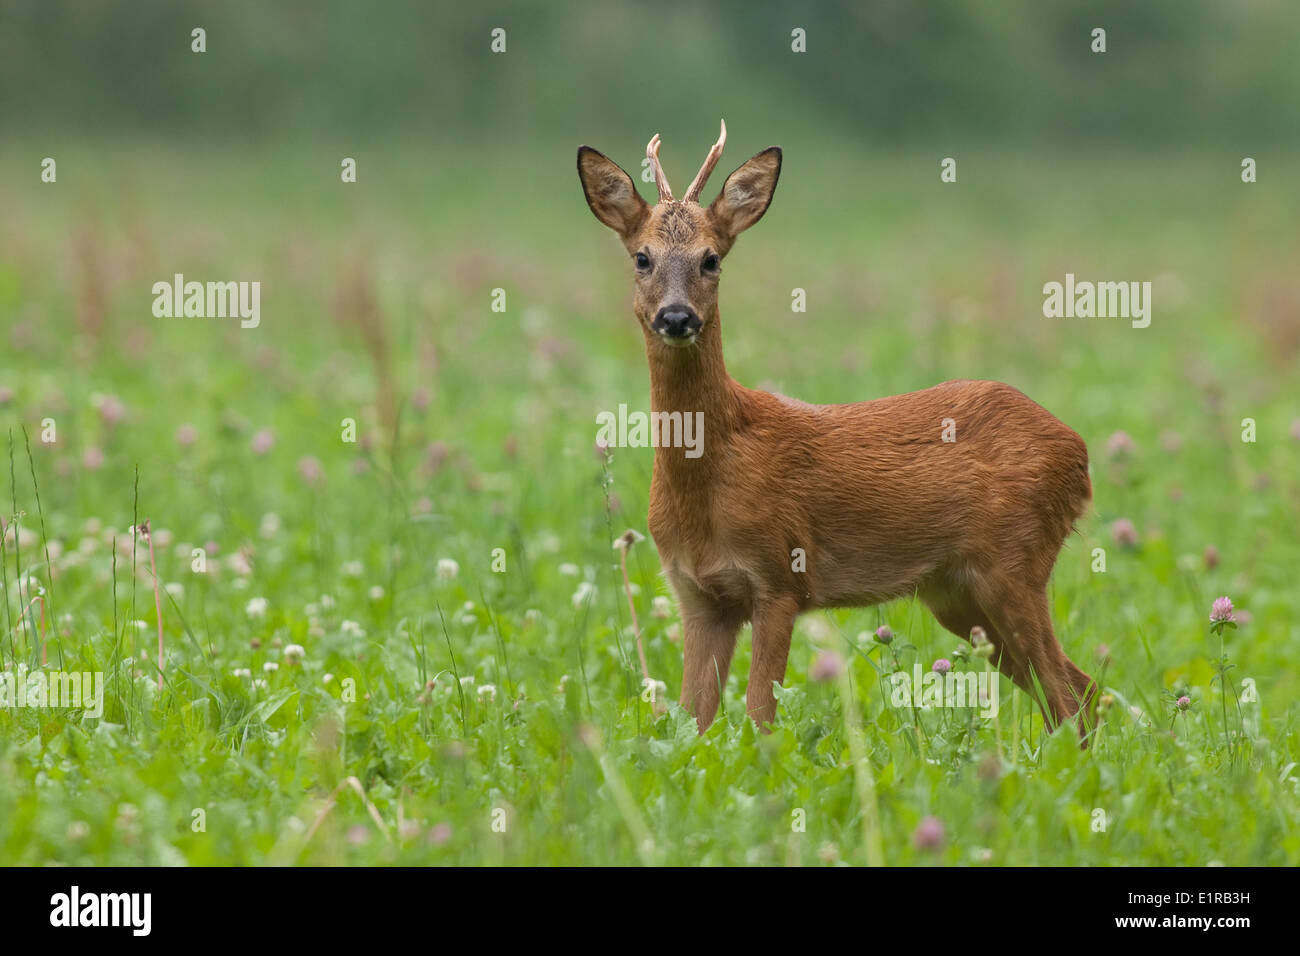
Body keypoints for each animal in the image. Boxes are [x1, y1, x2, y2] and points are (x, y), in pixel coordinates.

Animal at [577, 121, 1098, 742]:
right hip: (956, 593)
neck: (710, 482)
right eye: (641, 257)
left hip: (1015, 562)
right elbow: (693, 725)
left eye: (711, 259)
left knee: (1069, 696)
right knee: (1081, 689)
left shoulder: (781, 576)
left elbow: (760, 717)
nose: (677, 317)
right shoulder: (696, 595)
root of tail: (1079, 451)